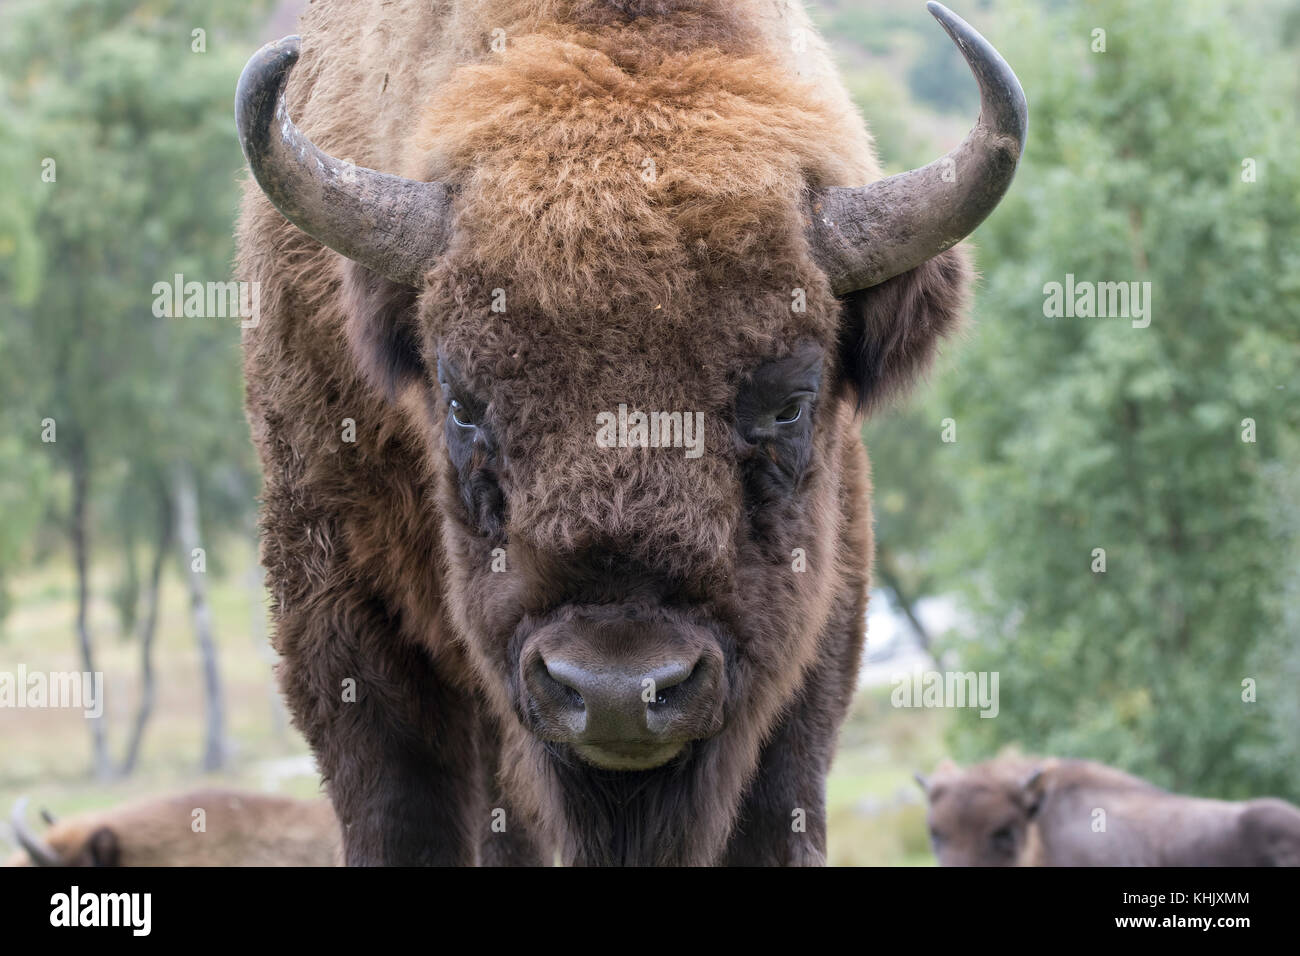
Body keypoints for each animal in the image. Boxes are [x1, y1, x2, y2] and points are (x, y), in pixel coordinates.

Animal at [234, 0, 1025, 865]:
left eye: (790, 402)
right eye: (462, 401)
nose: (615, 691)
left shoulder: (820, 624)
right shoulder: (344, 613)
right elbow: (401, 804)